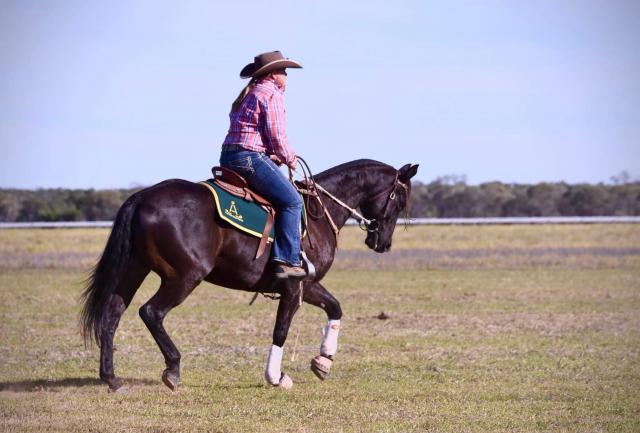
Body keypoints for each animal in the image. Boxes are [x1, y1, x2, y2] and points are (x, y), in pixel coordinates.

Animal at [81, 159, 419, 392]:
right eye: (400, 200)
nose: (383, 244)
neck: (317, 213)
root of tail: (143, 197)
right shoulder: (293, 286)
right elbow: (280, 331)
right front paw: (276, 377)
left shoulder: (308, 285)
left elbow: (335, 308)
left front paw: (323, 361)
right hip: (184, 277)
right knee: (151, 312)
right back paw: (173, 369)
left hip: (134, 269)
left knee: (112, 314)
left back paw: (112, 379)